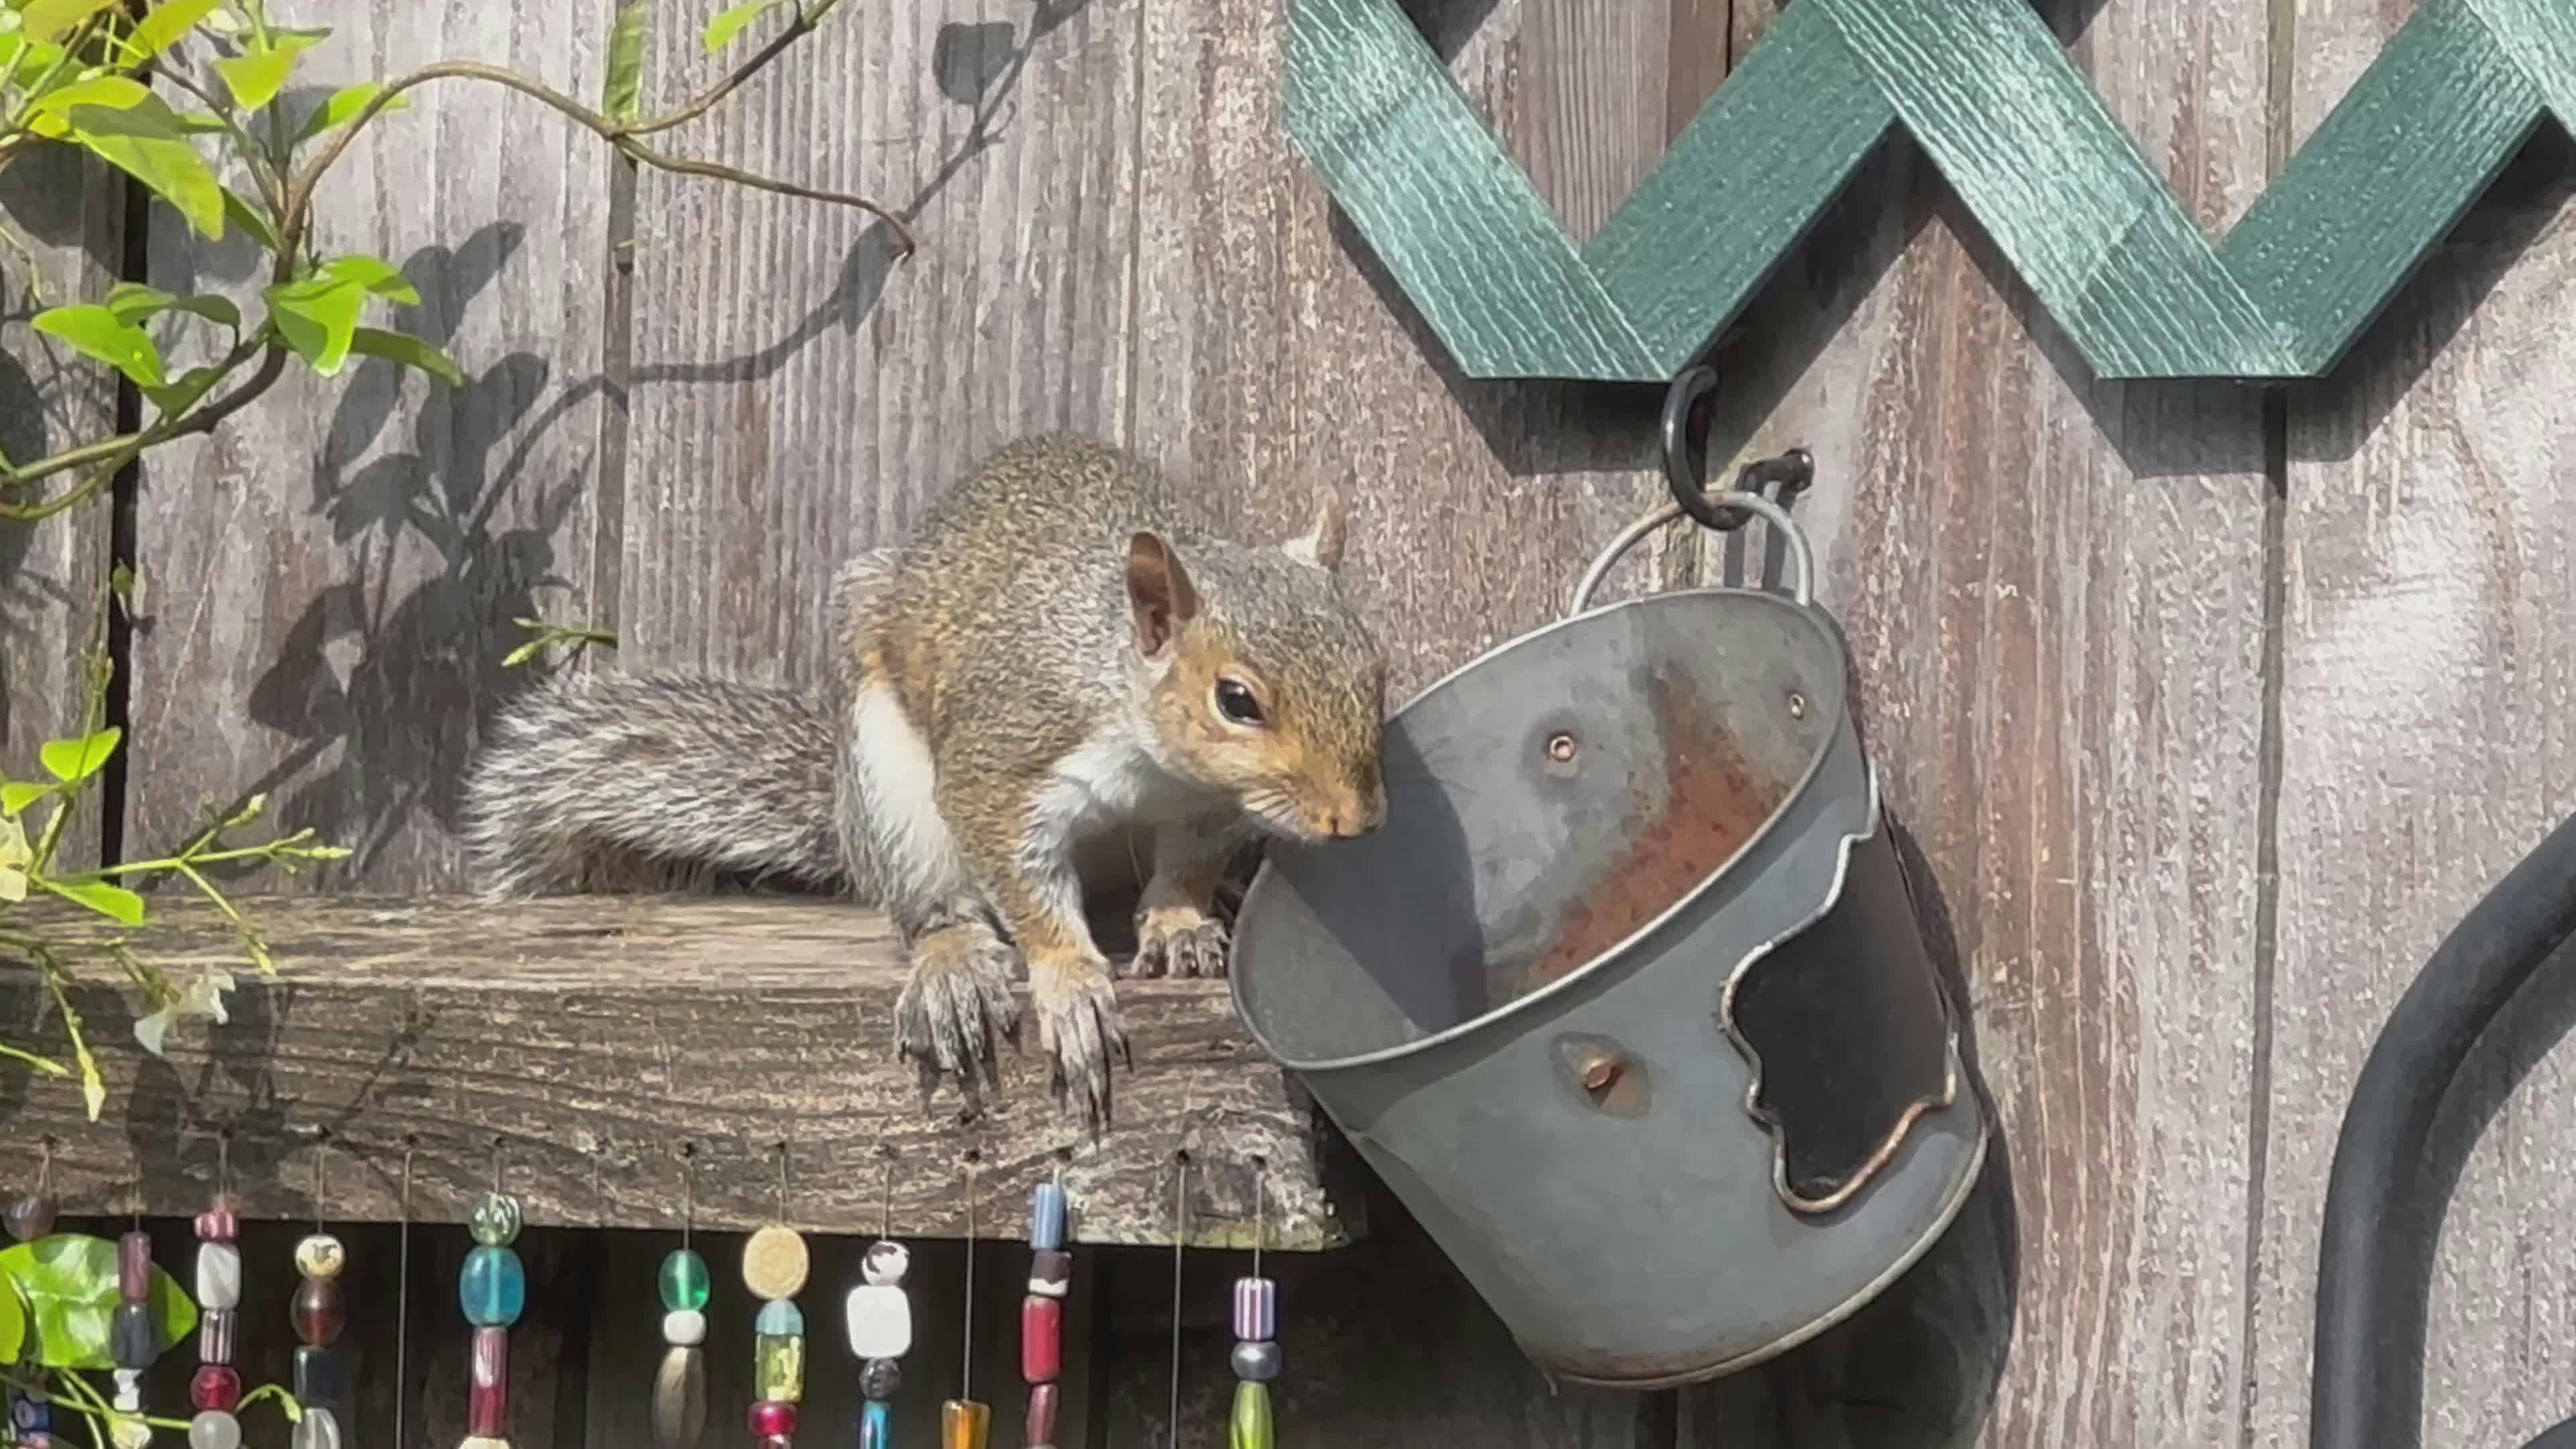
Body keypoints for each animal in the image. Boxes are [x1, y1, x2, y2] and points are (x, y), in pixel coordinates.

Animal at [460, 433, 1391, 1116]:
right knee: (933, 910)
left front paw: (1182, 922)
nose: (1358, 820)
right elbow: (1024, 884)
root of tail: (845, 820)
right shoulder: (1005, 760)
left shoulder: (1208, 811)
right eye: (1237, 700)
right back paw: (951, 965)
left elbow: (1187, 869)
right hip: (891, 794)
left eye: (1373, 664)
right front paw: (1070, 980)